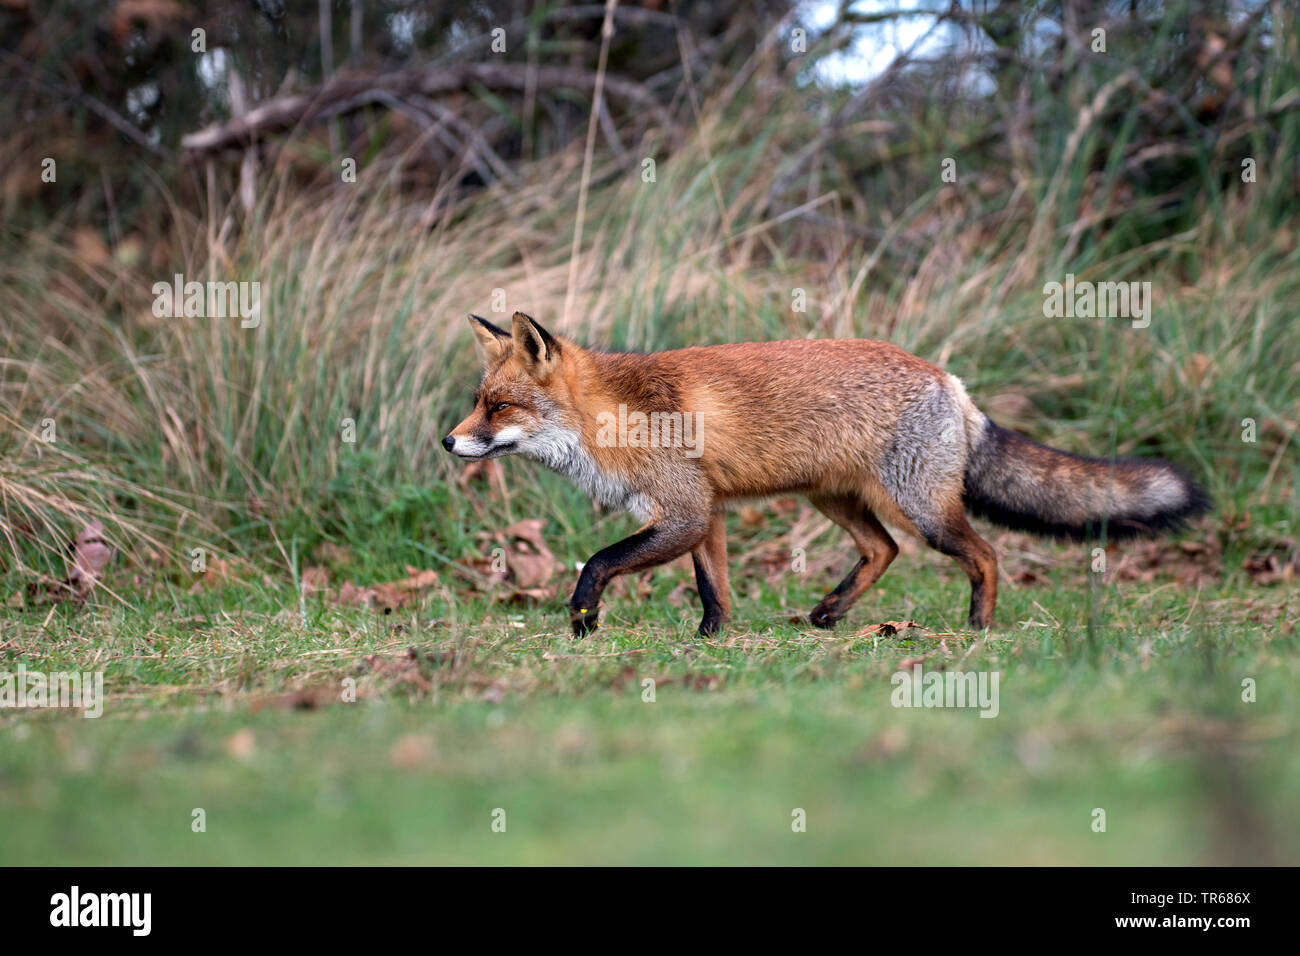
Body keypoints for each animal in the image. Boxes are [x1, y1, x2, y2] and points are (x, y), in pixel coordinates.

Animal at [444, 312, 1211, 637]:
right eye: (478, 401)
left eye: (499, 406)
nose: (448, 441)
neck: (616, 415)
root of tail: (951, 381)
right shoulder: (709, 512)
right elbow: (714, 587)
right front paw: (713, 638)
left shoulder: (685, 509)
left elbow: (599, 561)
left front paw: (583, 619)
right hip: (836, 501)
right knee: (883, 551)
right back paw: (829, 614)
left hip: (922, 509)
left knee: (985, 554)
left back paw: (979, 625)